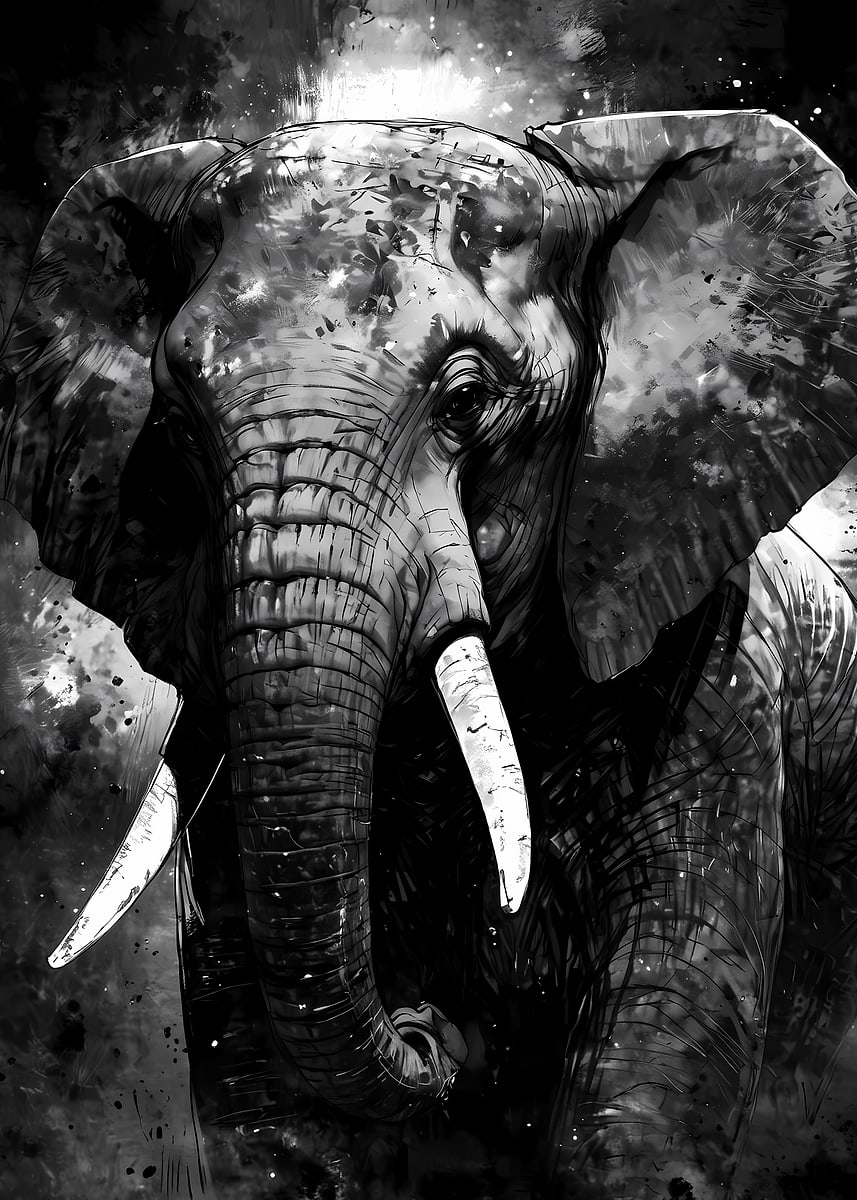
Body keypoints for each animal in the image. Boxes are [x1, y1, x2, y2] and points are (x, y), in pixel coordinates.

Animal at [3, 108, 857, 1199]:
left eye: (463, 402)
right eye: (178, 422)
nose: (431, 1031)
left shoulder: (721, 695)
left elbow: (631, 1104)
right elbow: (269, 1115)